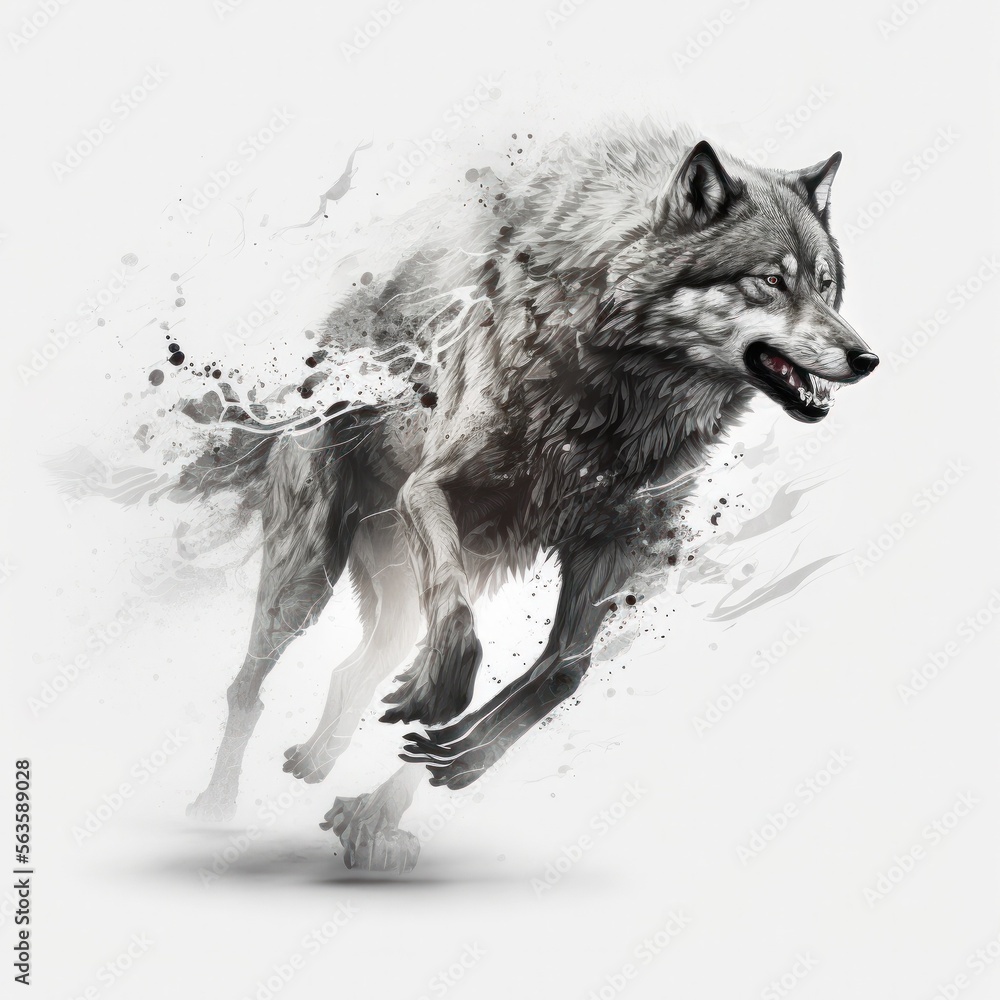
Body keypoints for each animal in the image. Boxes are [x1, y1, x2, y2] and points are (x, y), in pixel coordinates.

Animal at [178, 120, 877, 870]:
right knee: (248, 688)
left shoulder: (613, 547)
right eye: (771, 281)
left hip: (423, 579)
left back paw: (353, 797)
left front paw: (459, 753)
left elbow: (563, 671)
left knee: (354, 670)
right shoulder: (433, 489)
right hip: (308, 575)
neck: (623, 401)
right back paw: (218, 808)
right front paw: (440, 694)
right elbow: (458, 625)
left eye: (827, 286)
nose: (867, 359)